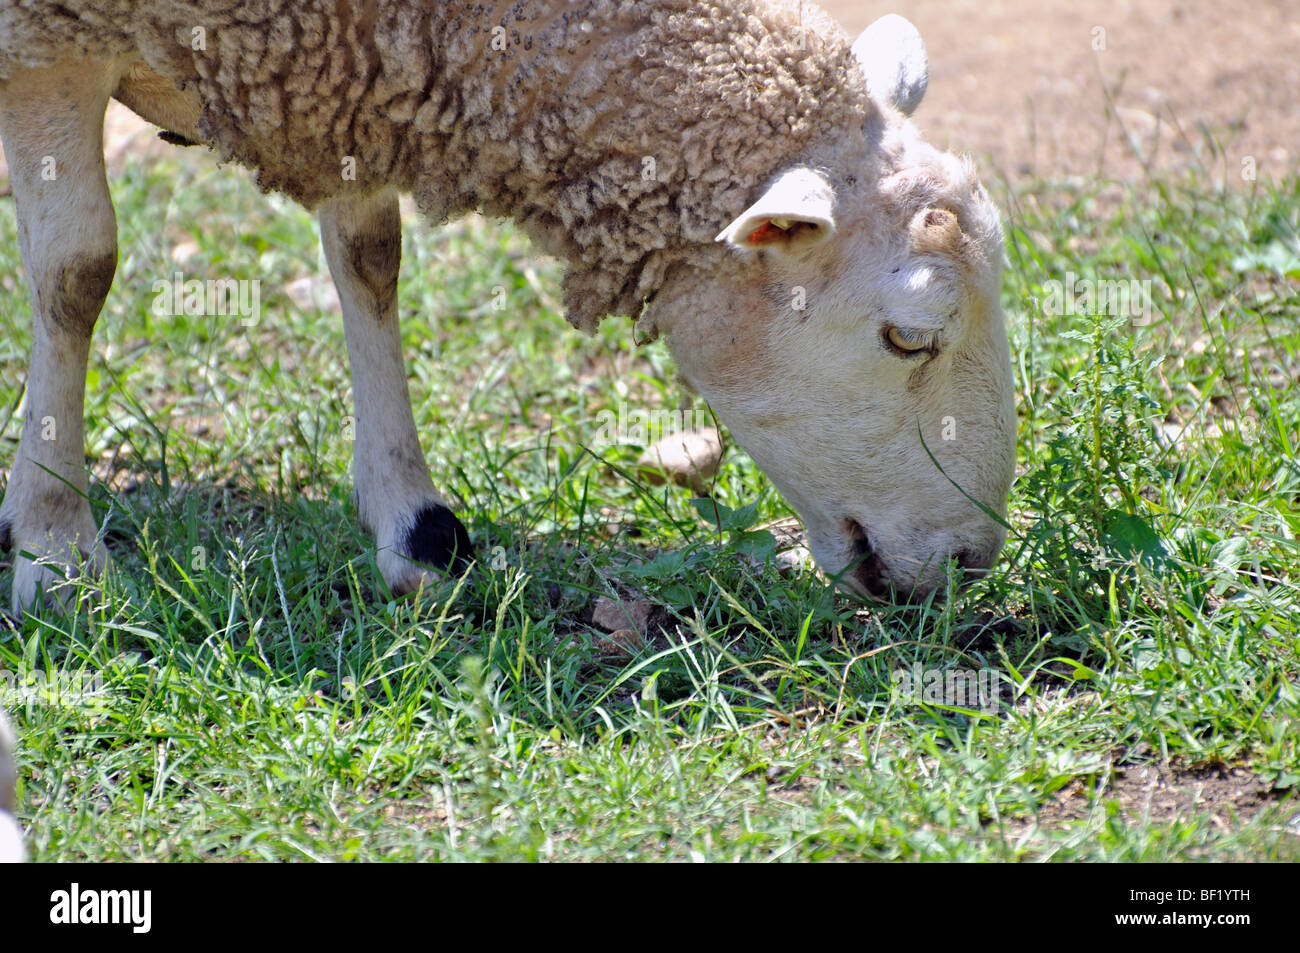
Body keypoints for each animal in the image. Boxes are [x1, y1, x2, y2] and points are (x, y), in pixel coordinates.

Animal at [0, 1, 1015, 606]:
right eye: (907, 337)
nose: (971, 560)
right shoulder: (48, 41)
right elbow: (77, 272)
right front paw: (56, 547)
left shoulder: (342, 76)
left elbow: (370, 258)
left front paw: (413, 524)